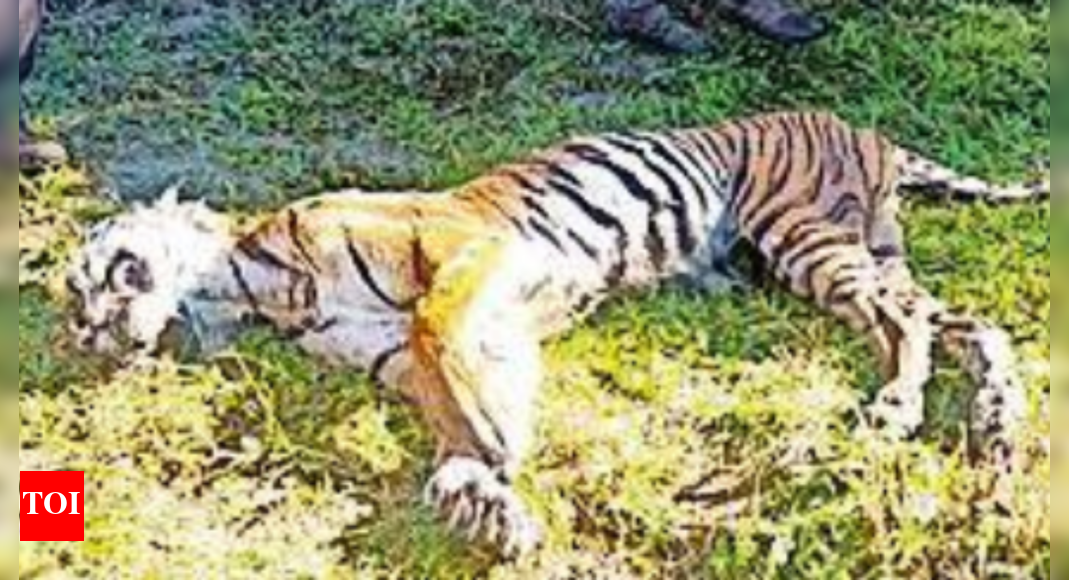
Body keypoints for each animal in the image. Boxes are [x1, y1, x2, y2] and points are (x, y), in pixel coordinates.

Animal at [66, 111, 1048, 558]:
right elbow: (455, 435)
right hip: (854, 250)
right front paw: (484, 502)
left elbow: (438, 331)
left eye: (105, 274)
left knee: (907, 322)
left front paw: (493, 448)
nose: (89, 337)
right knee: (964, 322)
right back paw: (994, 417)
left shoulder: (468, 251)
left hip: (801, 234)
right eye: (76, 311)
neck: (257, 288)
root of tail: (862, 126)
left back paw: (898, 407)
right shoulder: (431, 348)